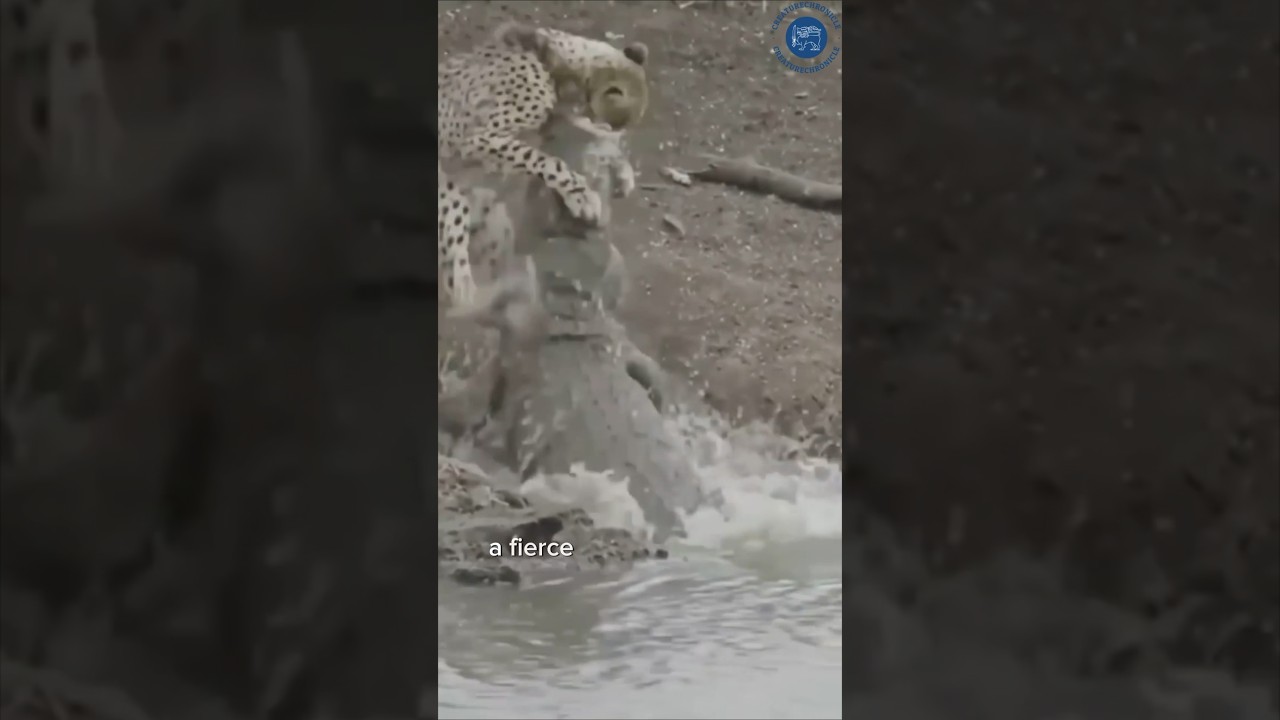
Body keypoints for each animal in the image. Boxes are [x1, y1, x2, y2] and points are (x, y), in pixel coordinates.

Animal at [436, 22, 649, 308]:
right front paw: (582, 195)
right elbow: (545, 160)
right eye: (620, 122)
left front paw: (623, 174)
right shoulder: (476, 138)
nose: (620, 131)